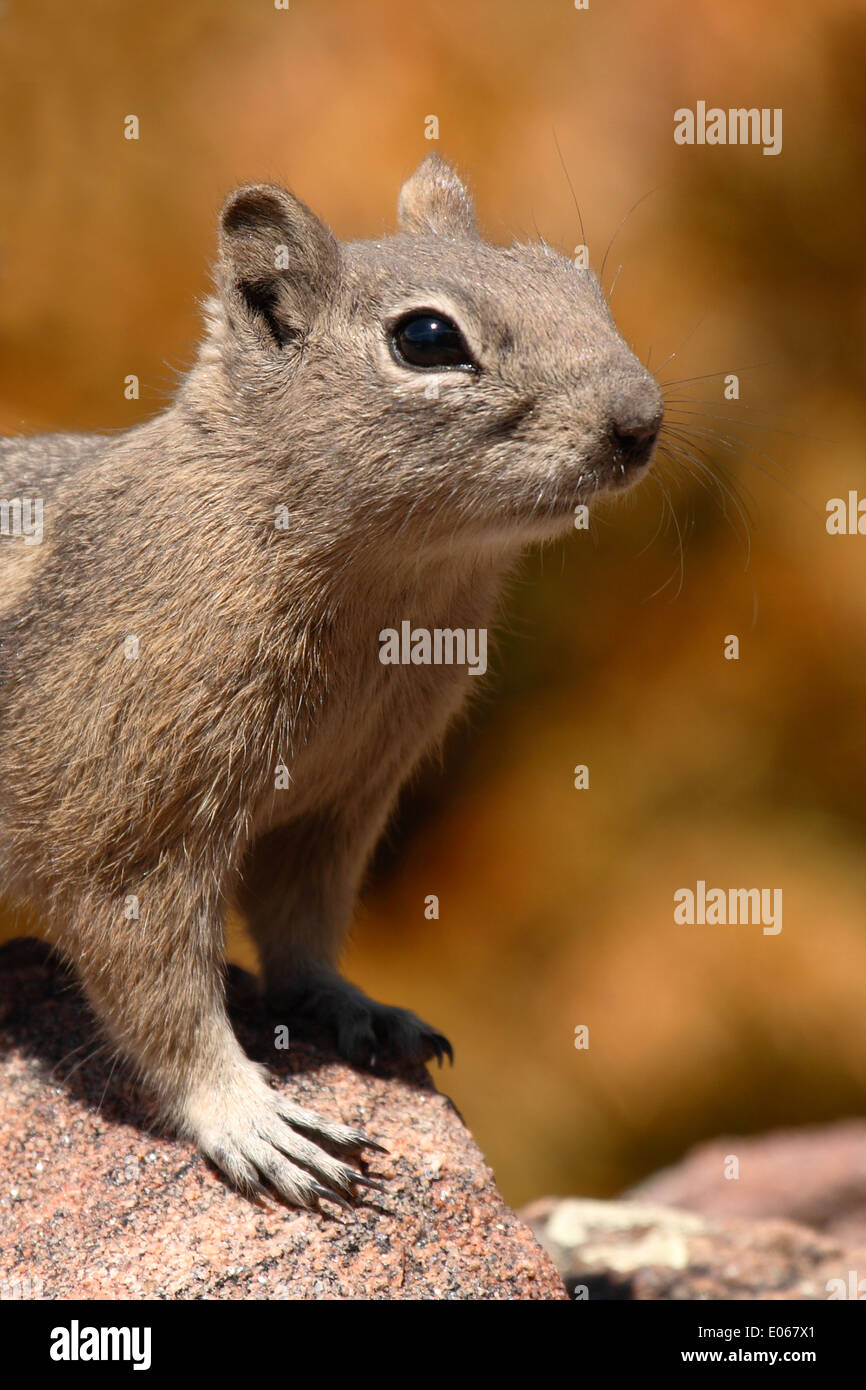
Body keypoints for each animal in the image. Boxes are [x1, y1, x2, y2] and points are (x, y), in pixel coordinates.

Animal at [0, 156, 663, 1208]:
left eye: (575, 277)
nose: (642, 423)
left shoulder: (337, 802)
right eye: (427, 339)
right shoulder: (125, 824)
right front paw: (251, 1119)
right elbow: (158, 990)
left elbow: (301, 927)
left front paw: (356, 1007)